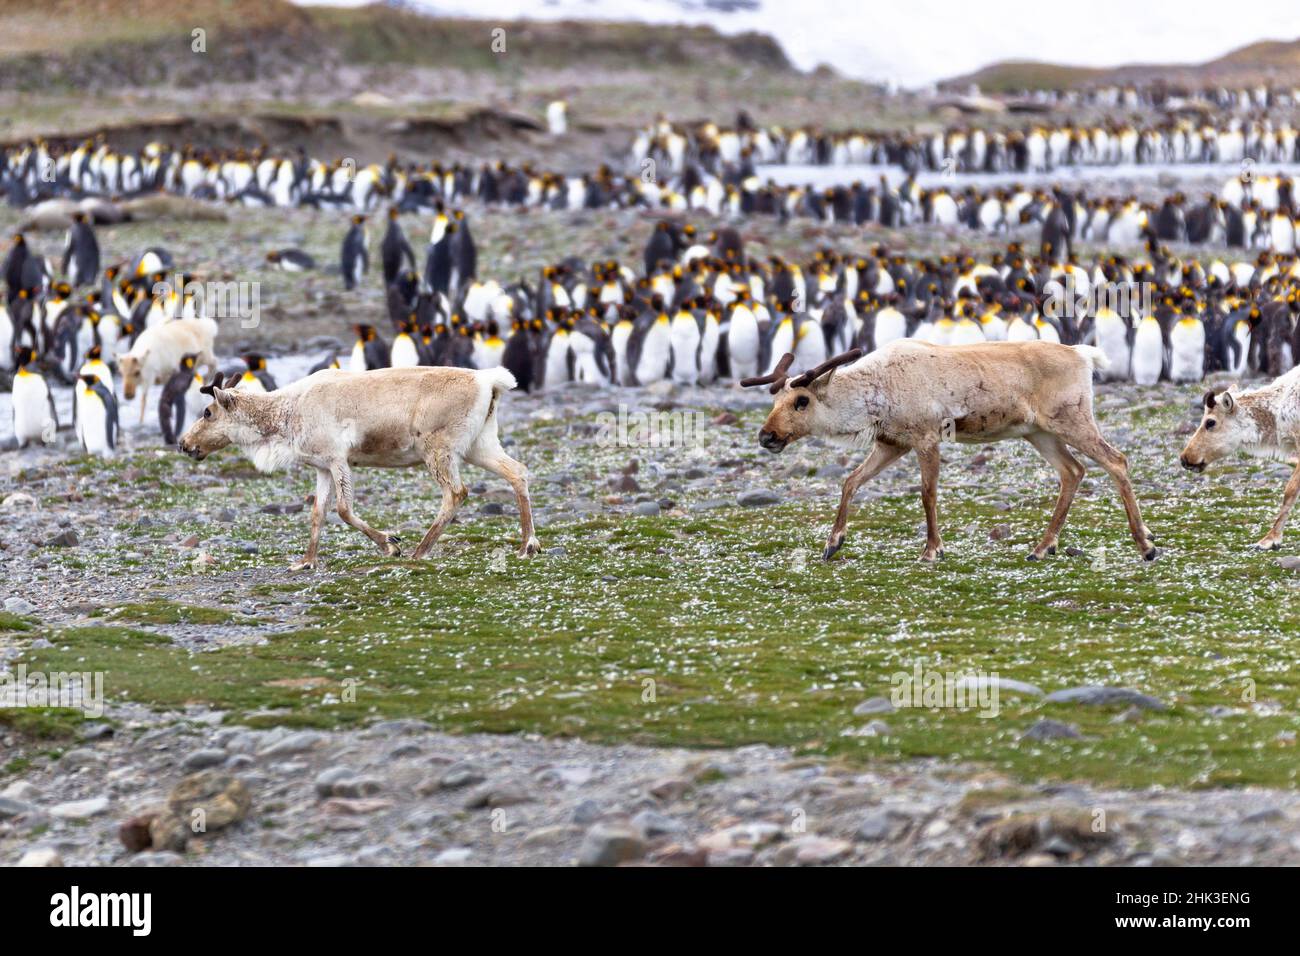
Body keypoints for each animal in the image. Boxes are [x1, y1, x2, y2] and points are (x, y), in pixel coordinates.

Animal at [178, 365, 539, 570]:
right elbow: (317, 513)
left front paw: (391, 544)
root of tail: (490, 381)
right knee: (517, 471)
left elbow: (343, 509)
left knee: (456, 492)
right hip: (480, 444)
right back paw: (528, 545)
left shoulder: (338, 458)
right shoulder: (321, 466)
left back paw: (418, 552)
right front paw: (306, 562)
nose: (183, 443)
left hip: (438, 448)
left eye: (207, 412)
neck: (287, 414)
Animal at [742, 340, 1158, 563]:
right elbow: (850, 482)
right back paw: (1041, 548)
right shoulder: (892, 443)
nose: (766, 436)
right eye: (775, 399)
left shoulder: (927, 437)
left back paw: (1146, 545)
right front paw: (832, 544)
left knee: (1116, 460)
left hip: (1071, 419)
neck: (875, 394)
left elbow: (928, 494)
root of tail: (1084, 355)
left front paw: (932, 550)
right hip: (1039, 432)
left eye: (802, 401)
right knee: (1073, 471)